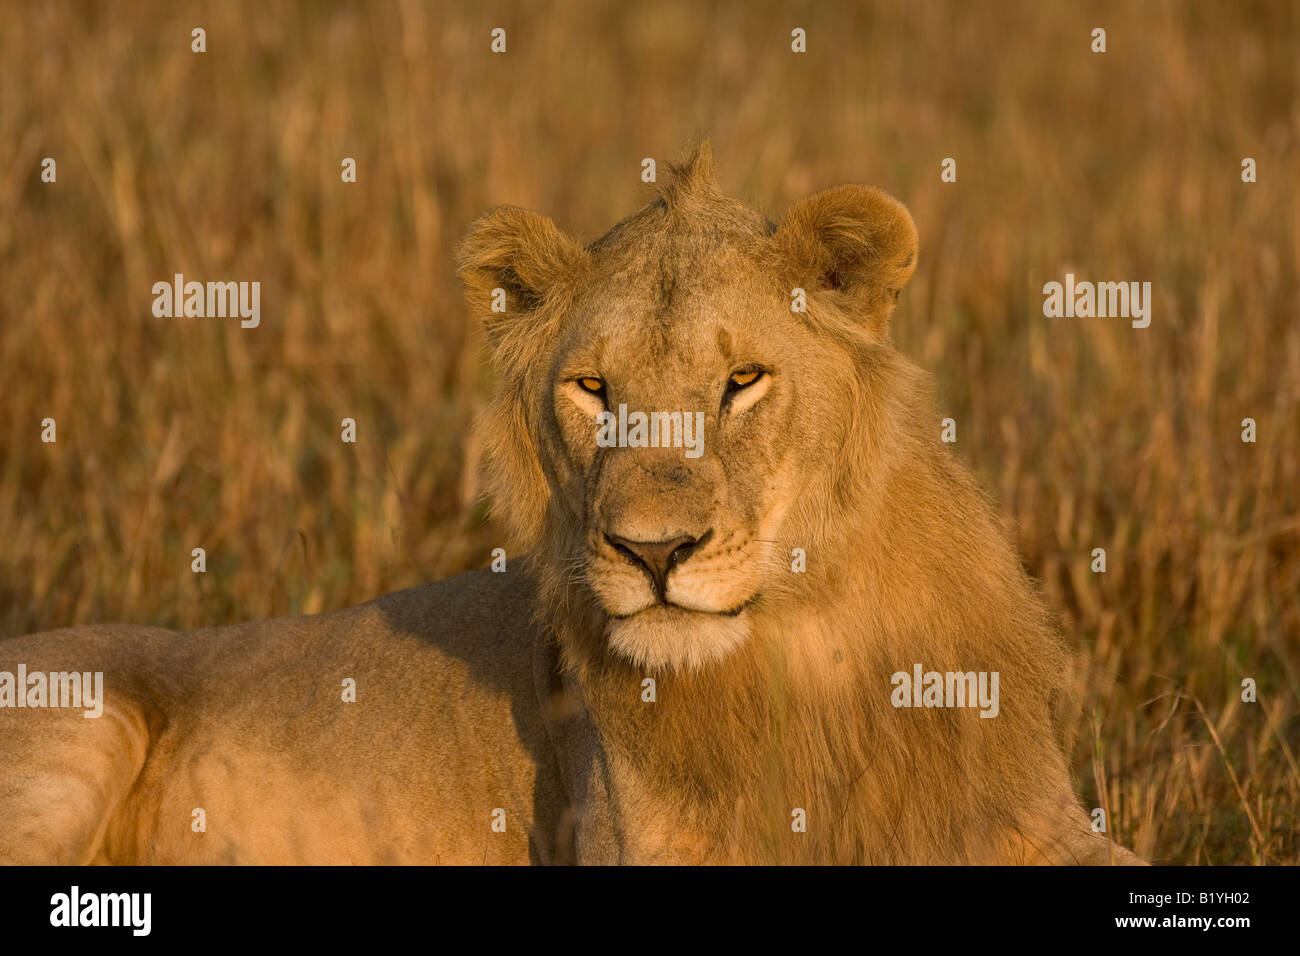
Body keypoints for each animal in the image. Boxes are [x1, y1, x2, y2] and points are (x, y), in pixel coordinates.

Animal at [0, 143, 1141, 865]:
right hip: (85, 722)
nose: (654, 551)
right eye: (594, 389)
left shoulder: (1032, 815)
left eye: (742, 381)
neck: (805, 648)